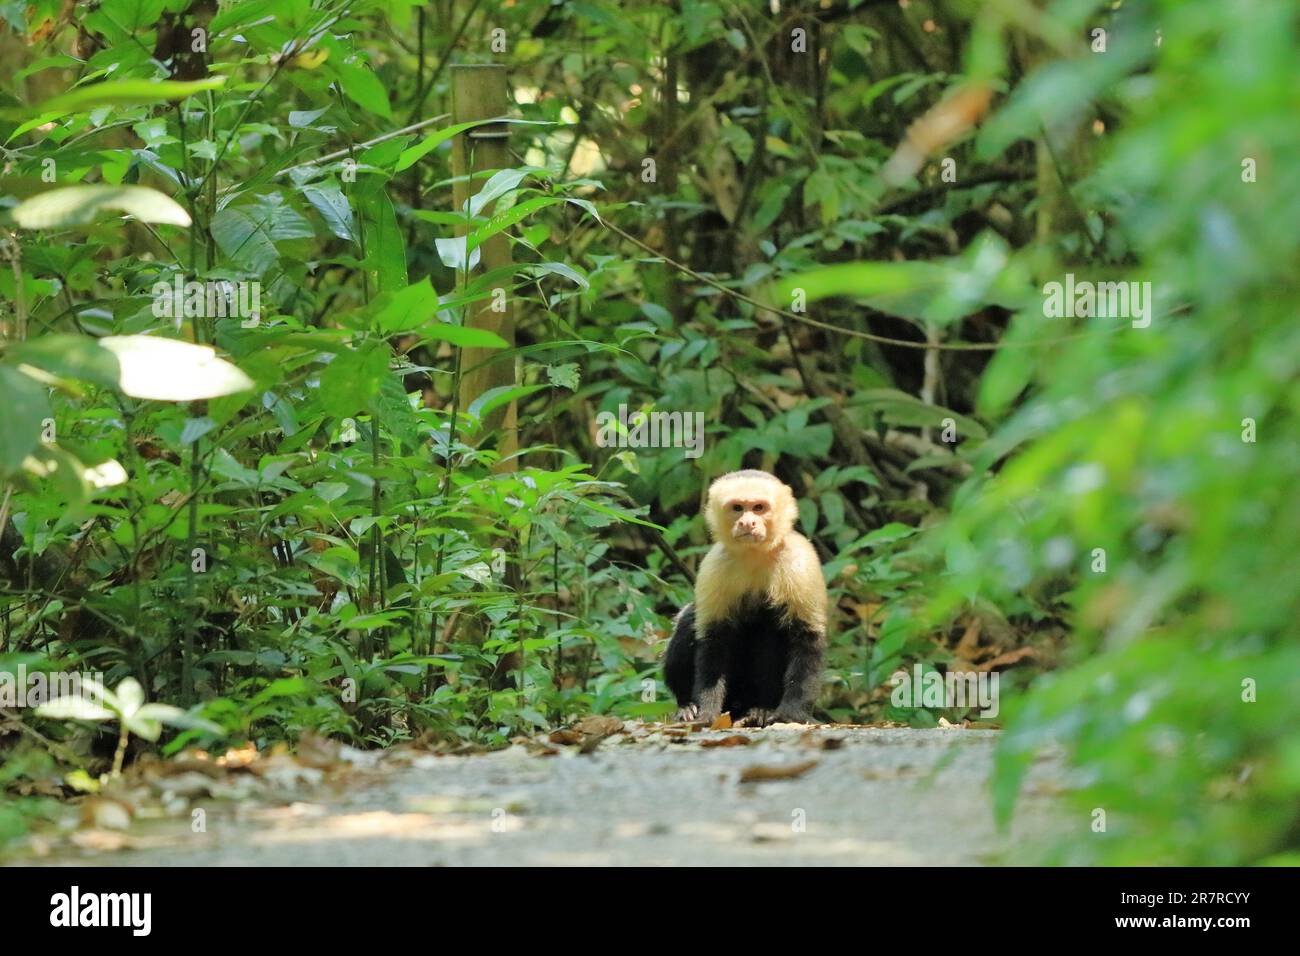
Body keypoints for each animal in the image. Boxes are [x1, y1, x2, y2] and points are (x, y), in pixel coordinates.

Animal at [663, 469, 827, 727]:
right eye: (738, 508)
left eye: (759, 508)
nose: (747, 522)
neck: (755, 555)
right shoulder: (714, 565)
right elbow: (713, 640)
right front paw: (706, 711)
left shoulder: (800, 561)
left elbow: (806, 637)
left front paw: (792, 714)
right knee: (690, 619)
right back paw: (686, 705)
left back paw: (762, 709)